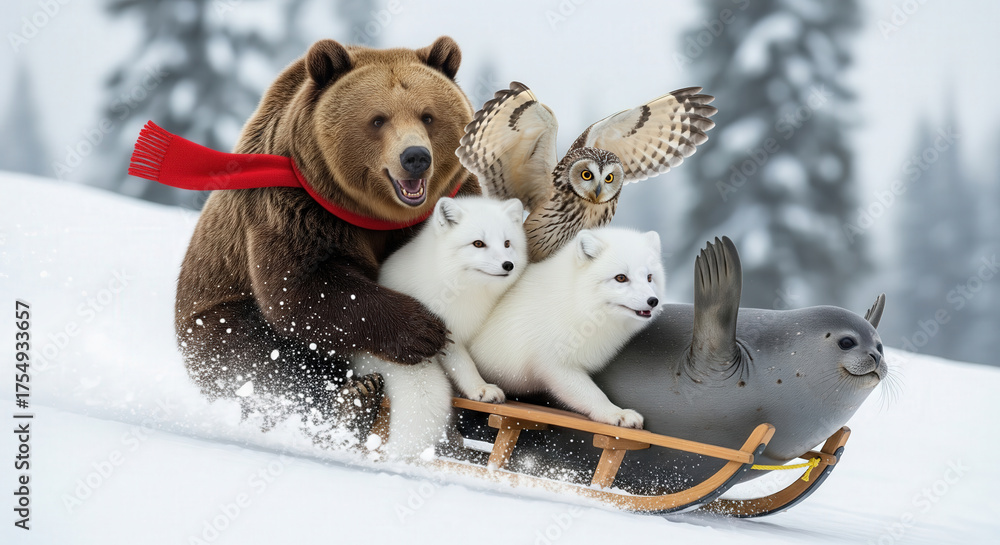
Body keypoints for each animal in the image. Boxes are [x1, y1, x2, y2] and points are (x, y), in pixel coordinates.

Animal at [175, 36, 480, 439]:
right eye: (378, 119)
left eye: (428, 116)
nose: (415, 157)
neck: (376, 216)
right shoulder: (296, 205)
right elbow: (302, 288)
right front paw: (424, 330)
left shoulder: (456, 193)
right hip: (211, 317)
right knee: (259, 360)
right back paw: (353, 400)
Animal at [351, 196, 527, 458]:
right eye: (478, 243)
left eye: (507, 243)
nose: (509, 265)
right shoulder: (443, 334)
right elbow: (464, 365)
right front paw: (479, 388)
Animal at [467, 227, 665, 428]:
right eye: (621, 278)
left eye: (649, 278)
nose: (653, 301)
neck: (577, 303)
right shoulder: (554, 364)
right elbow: (593, 394)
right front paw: (615, 413)